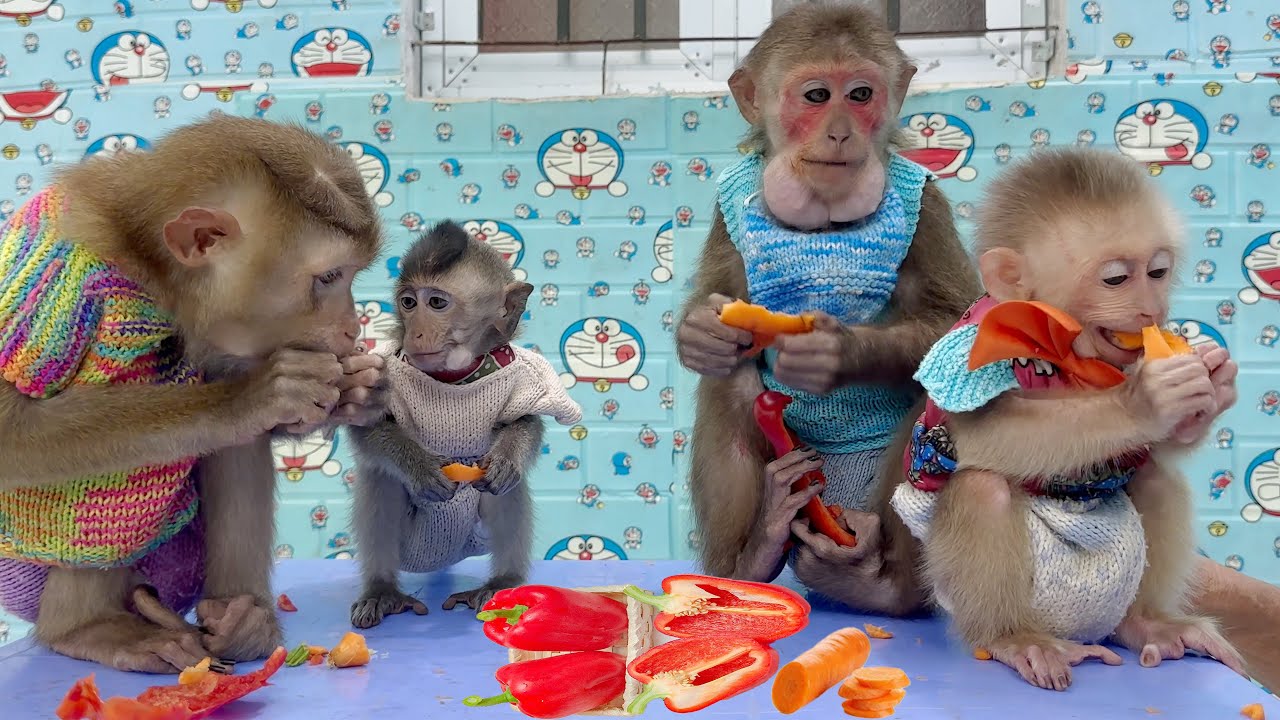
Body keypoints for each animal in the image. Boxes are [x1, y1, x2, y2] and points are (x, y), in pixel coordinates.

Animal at [0, 113, 386, 673]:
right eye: (330, 276)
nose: (353, 328)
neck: (154, 272)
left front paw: (351, 391)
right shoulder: (59, 274)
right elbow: (10, 433)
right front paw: (252, 397)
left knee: (232, 445)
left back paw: (243, 622)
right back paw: (83, 627)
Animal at [346, 221, 582, 629]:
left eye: (437, 303)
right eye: (408, 302)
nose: (415, 332)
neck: (455, 376)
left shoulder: (524, 374)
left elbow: (524, 421)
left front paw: (507, 458)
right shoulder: (381, 370)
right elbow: (368, 431)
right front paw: (420, 468)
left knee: (506, 492)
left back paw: (503, 583)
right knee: (381, 479)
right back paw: (382, 590)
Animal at [675, 2, 980, 614]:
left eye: (860, 94)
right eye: (817, 96)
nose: (841, 130)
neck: (823, 225)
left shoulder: (929, 204)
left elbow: (954, 319)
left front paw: (835, 351)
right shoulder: (726, 207)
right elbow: (720, 302)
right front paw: (700, 331)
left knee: (936, 389)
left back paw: (881, 586)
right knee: (731, 380)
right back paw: (753, 553)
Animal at [888, 147, 1246, 690]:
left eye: (1158, 272)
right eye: (1116, 278)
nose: (1151, 310)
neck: (1064, 347)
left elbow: (1155, 447)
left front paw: (1213, 382)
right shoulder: (971, 341)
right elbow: (984, 431)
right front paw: (1142, 401)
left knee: (1156, 479)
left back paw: (1147, 623)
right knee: (981, 490)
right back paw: (1012, 638)